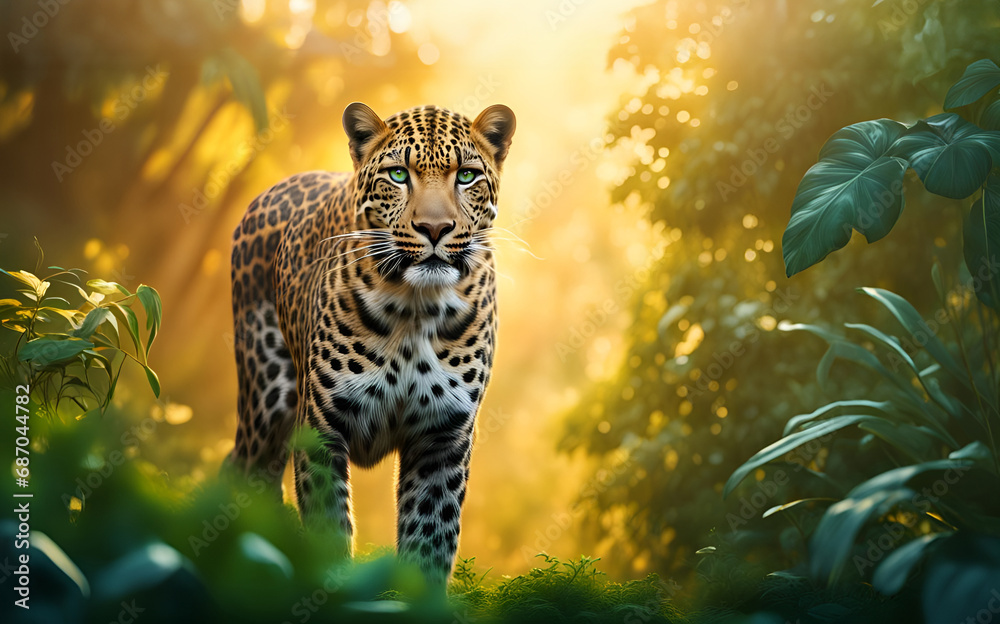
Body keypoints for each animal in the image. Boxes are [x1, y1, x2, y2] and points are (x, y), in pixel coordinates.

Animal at [225, 101, 516, 587]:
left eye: (466, 176)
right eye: (398, 175)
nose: (434, 228)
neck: (416, 309)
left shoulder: (442, 440)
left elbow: (429, 542)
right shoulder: (321, 430)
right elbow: (329, 530)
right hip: (267, 397)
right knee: (242, 472)